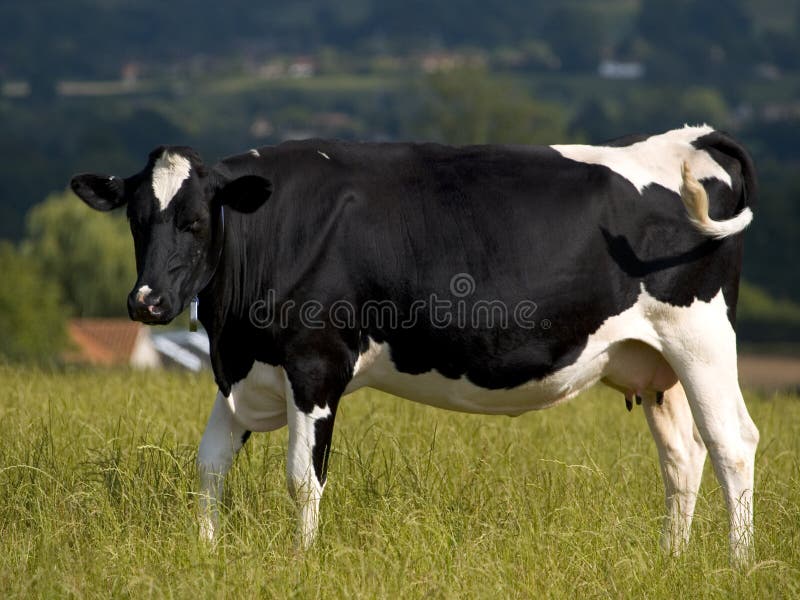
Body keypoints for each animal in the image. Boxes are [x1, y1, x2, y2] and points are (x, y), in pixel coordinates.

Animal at [71, 124, 759, 564]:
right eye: (137, 220)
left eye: (194, 222)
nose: (147, 302)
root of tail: (685, 139)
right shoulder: (243, 372)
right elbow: (209, 465)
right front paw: (207, 555)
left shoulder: (316, 366)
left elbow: (303, 478)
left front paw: (300, 563)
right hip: (656, 364)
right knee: (683, 456)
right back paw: (670, 560)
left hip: (701, 338)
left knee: (732, 443)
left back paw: (738, 564)